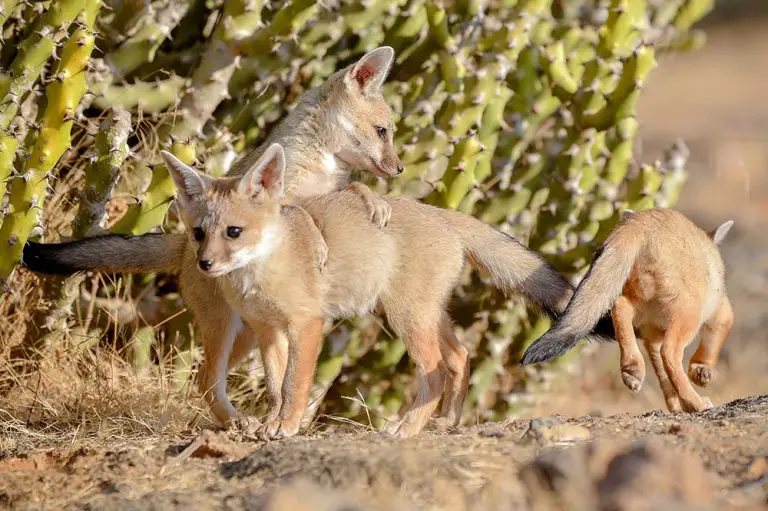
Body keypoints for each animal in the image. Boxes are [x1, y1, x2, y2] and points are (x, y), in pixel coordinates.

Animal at [22, 46, 404, 427]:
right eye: (382, 131)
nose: (400, 168)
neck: (322, 165)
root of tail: (184, 245)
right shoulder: (283, 198)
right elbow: (301, 213)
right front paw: (319, 242)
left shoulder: (324, 195)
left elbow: (353, 188)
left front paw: (374, 202)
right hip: (225, 327)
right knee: (206, 378)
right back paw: (235, 420)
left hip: (249, 333)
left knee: (203, 378)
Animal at [24, 143, 615, 438]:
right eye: (201, 231)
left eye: (233, 231)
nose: (208, 262)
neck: (260, 274)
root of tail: (444, 215)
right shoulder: (270, 332)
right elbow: (276, 383)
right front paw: (269, 425)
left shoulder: (308, 325)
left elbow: (295, 386)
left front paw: (284, 428)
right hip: (385, 319)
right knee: (461, 354)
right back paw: (444, 421)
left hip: (403, 318)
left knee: (433, 369)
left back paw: (408, 427)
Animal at [521, 208, 735, 413]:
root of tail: (641, 221)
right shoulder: (721, 313)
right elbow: (709, 348)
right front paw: (700, 373)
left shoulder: (652, 338)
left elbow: (663, 378)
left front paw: (676, 405)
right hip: (689, 314)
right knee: (669, 352)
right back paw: (696, 403)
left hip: (640, 307)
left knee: (620, 307)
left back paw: (632, 368)